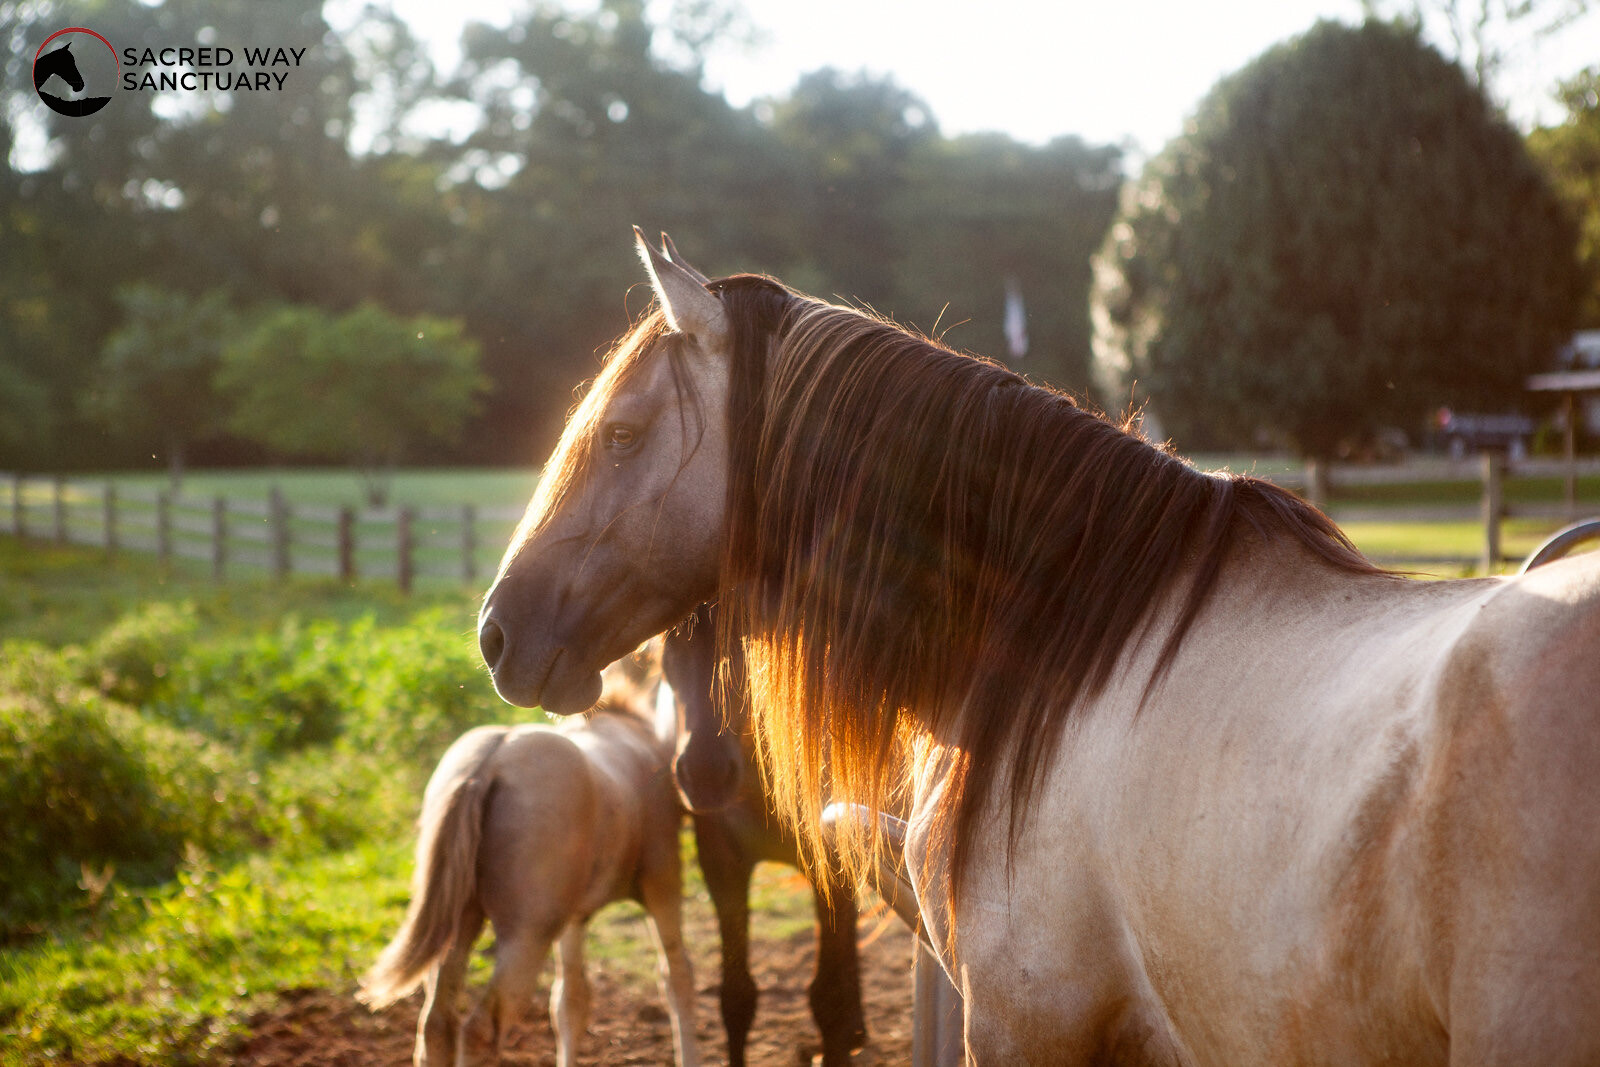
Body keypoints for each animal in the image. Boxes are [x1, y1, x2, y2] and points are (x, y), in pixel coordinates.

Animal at [360, 646, 700, 1067]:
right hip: (526, 937)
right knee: (479, 1029)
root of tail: (489, 763)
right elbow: (676, 976)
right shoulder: (663, 883)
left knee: (437, 1023)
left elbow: (570, 1002)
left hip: (459, 927)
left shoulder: (574, 917)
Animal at [663, 604, 867, 1066]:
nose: (704, 773)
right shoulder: (722, 865)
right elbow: (737, 998)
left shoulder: (833, 870)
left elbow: (829, 999)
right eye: (668, 643)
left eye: (751, 639)